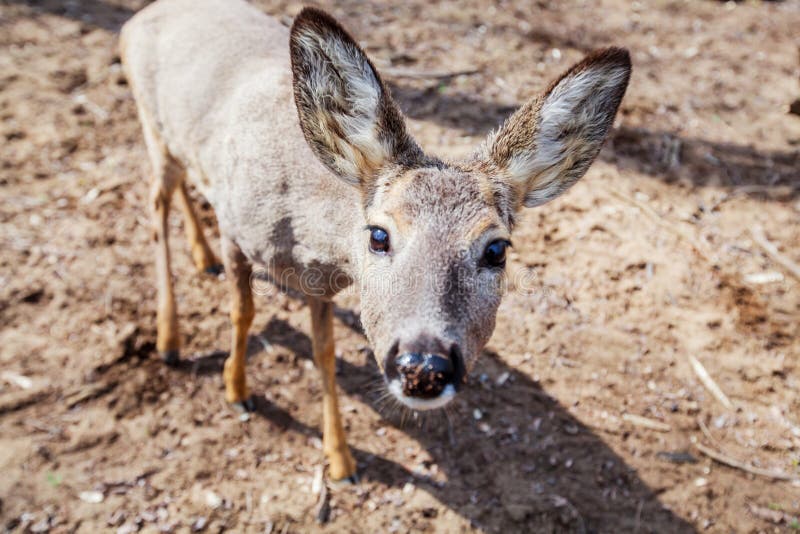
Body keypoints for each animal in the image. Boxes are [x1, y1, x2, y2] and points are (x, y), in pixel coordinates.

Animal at [120, 0, 631, 483]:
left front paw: (340, 459)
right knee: (156, 203)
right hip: (149, 121)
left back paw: (200, 259)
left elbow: (324, 354)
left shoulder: (319, 284)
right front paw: (236, 389)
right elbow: (242, 313)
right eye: (379, 235)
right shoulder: (235, 225)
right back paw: (168, 338)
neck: (304, 230)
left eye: (496, 250)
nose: (424, 366)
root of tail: (136, 20)